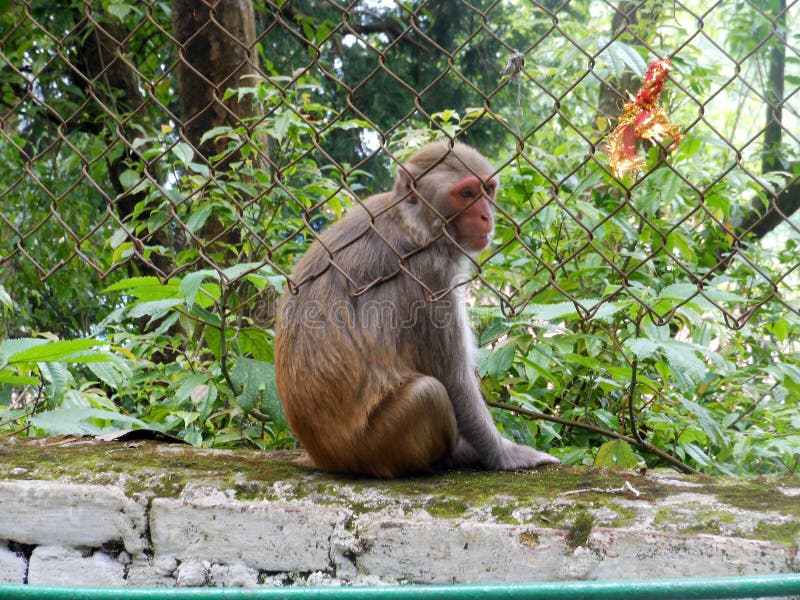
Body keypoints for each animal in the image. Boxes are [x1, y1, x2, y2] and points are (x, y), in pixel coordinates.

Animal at [274, 141, 559, 477]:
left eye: (487, 190)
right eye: (466, 193)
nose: (487, 217)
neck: (413, 222)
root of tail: (322, 456)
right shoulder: (430, 271)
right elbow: (454, 382)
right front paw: (506, 455)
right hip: (374, 444)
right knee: (429, 393)